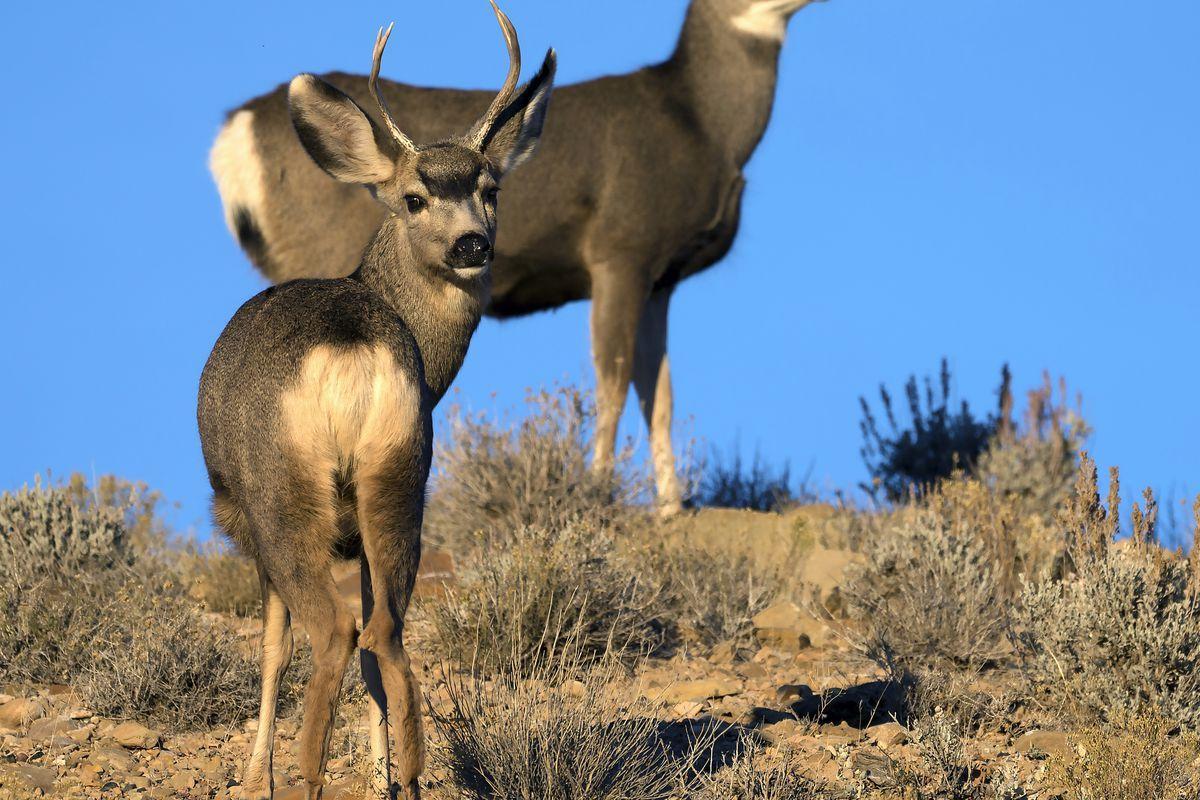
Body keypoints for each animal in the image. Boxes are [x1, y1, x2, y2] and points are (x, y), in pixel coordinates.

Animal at [197, 7, 555, 798]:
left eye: (490, 188)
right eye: (416, 197)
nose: (472, 244)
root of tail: (351, 348)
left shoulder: (237, 514)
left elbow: (271, 647)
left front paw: (255, 773)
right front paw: (379, 768)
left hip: (280, 489)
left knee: (333, 634)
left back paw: (305, 776)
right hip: (399, 472)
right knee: (384, 633)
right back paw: (412, 778)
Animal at [210, 0, 825, 517]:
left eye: (493, 190)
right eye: (413, 198)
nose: (472, 244)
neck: (699, 127)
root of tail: (230, 139)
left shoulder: (662, 277)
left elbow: (661, 391)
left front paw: (672, 509)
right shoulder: (621, 246)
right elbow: (612, 380)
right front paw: (599, 493)